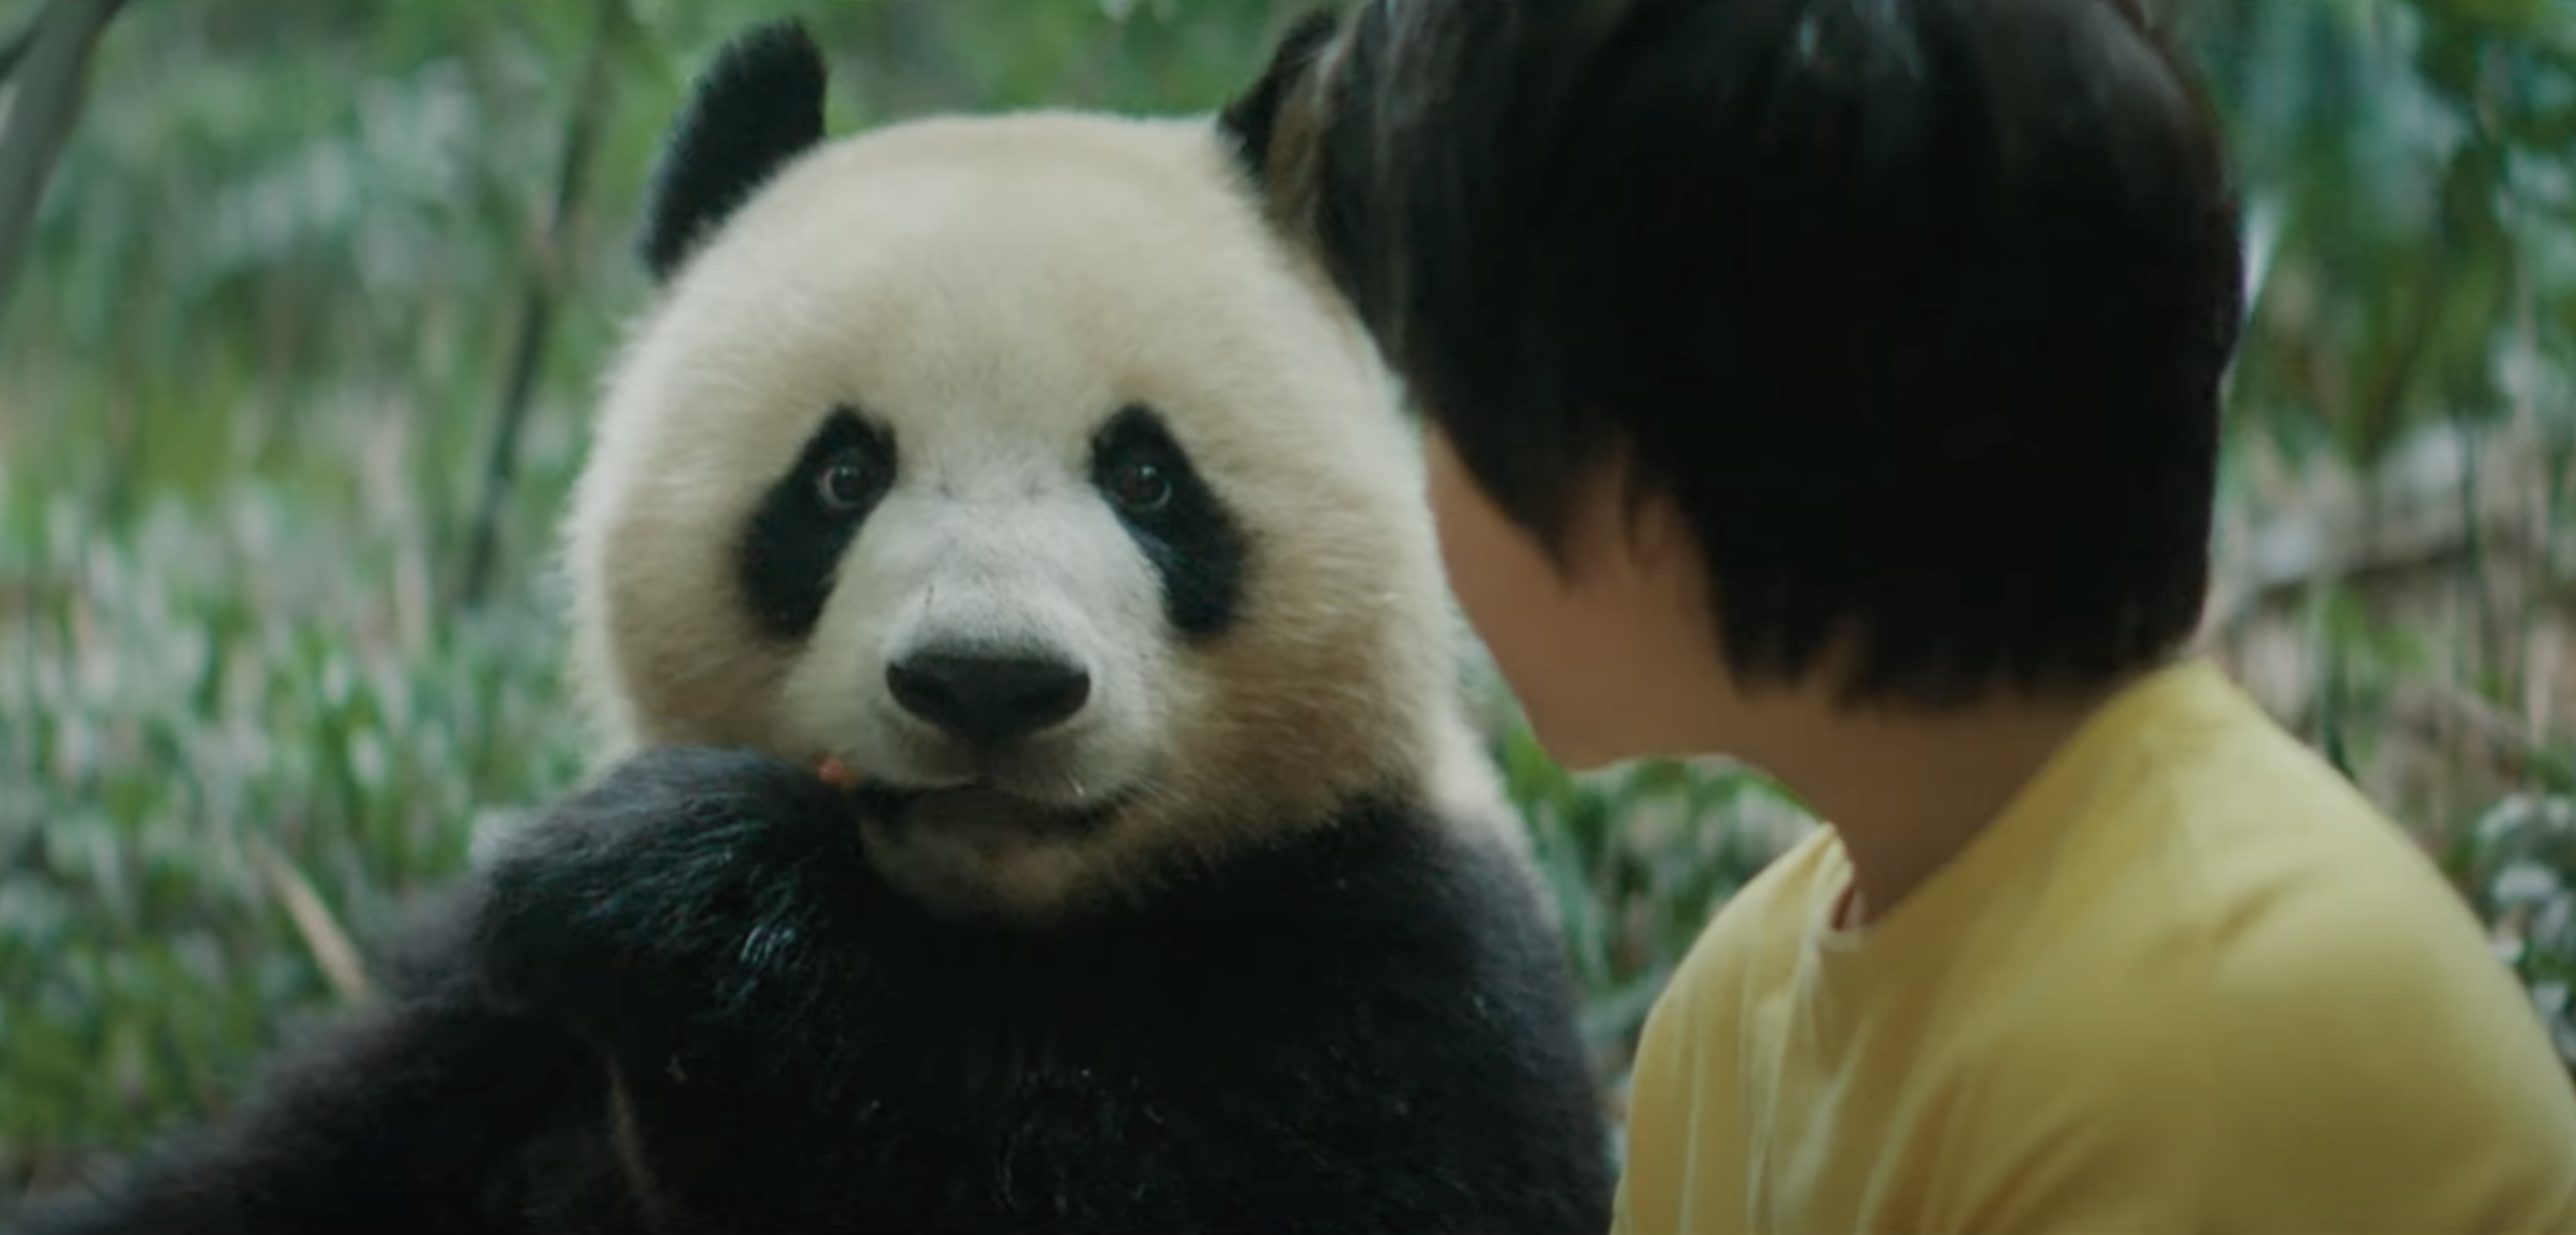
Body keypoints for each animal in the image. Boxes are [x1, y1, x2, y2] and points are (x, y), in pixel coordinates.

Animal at [5, 16, 1612, 1235]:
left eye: (1147, 476)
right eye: (841, 474)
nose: (985, 683)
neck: (991, 934)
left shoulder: (1397, 972)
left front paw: (687, 895)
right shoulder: (464, 1039)